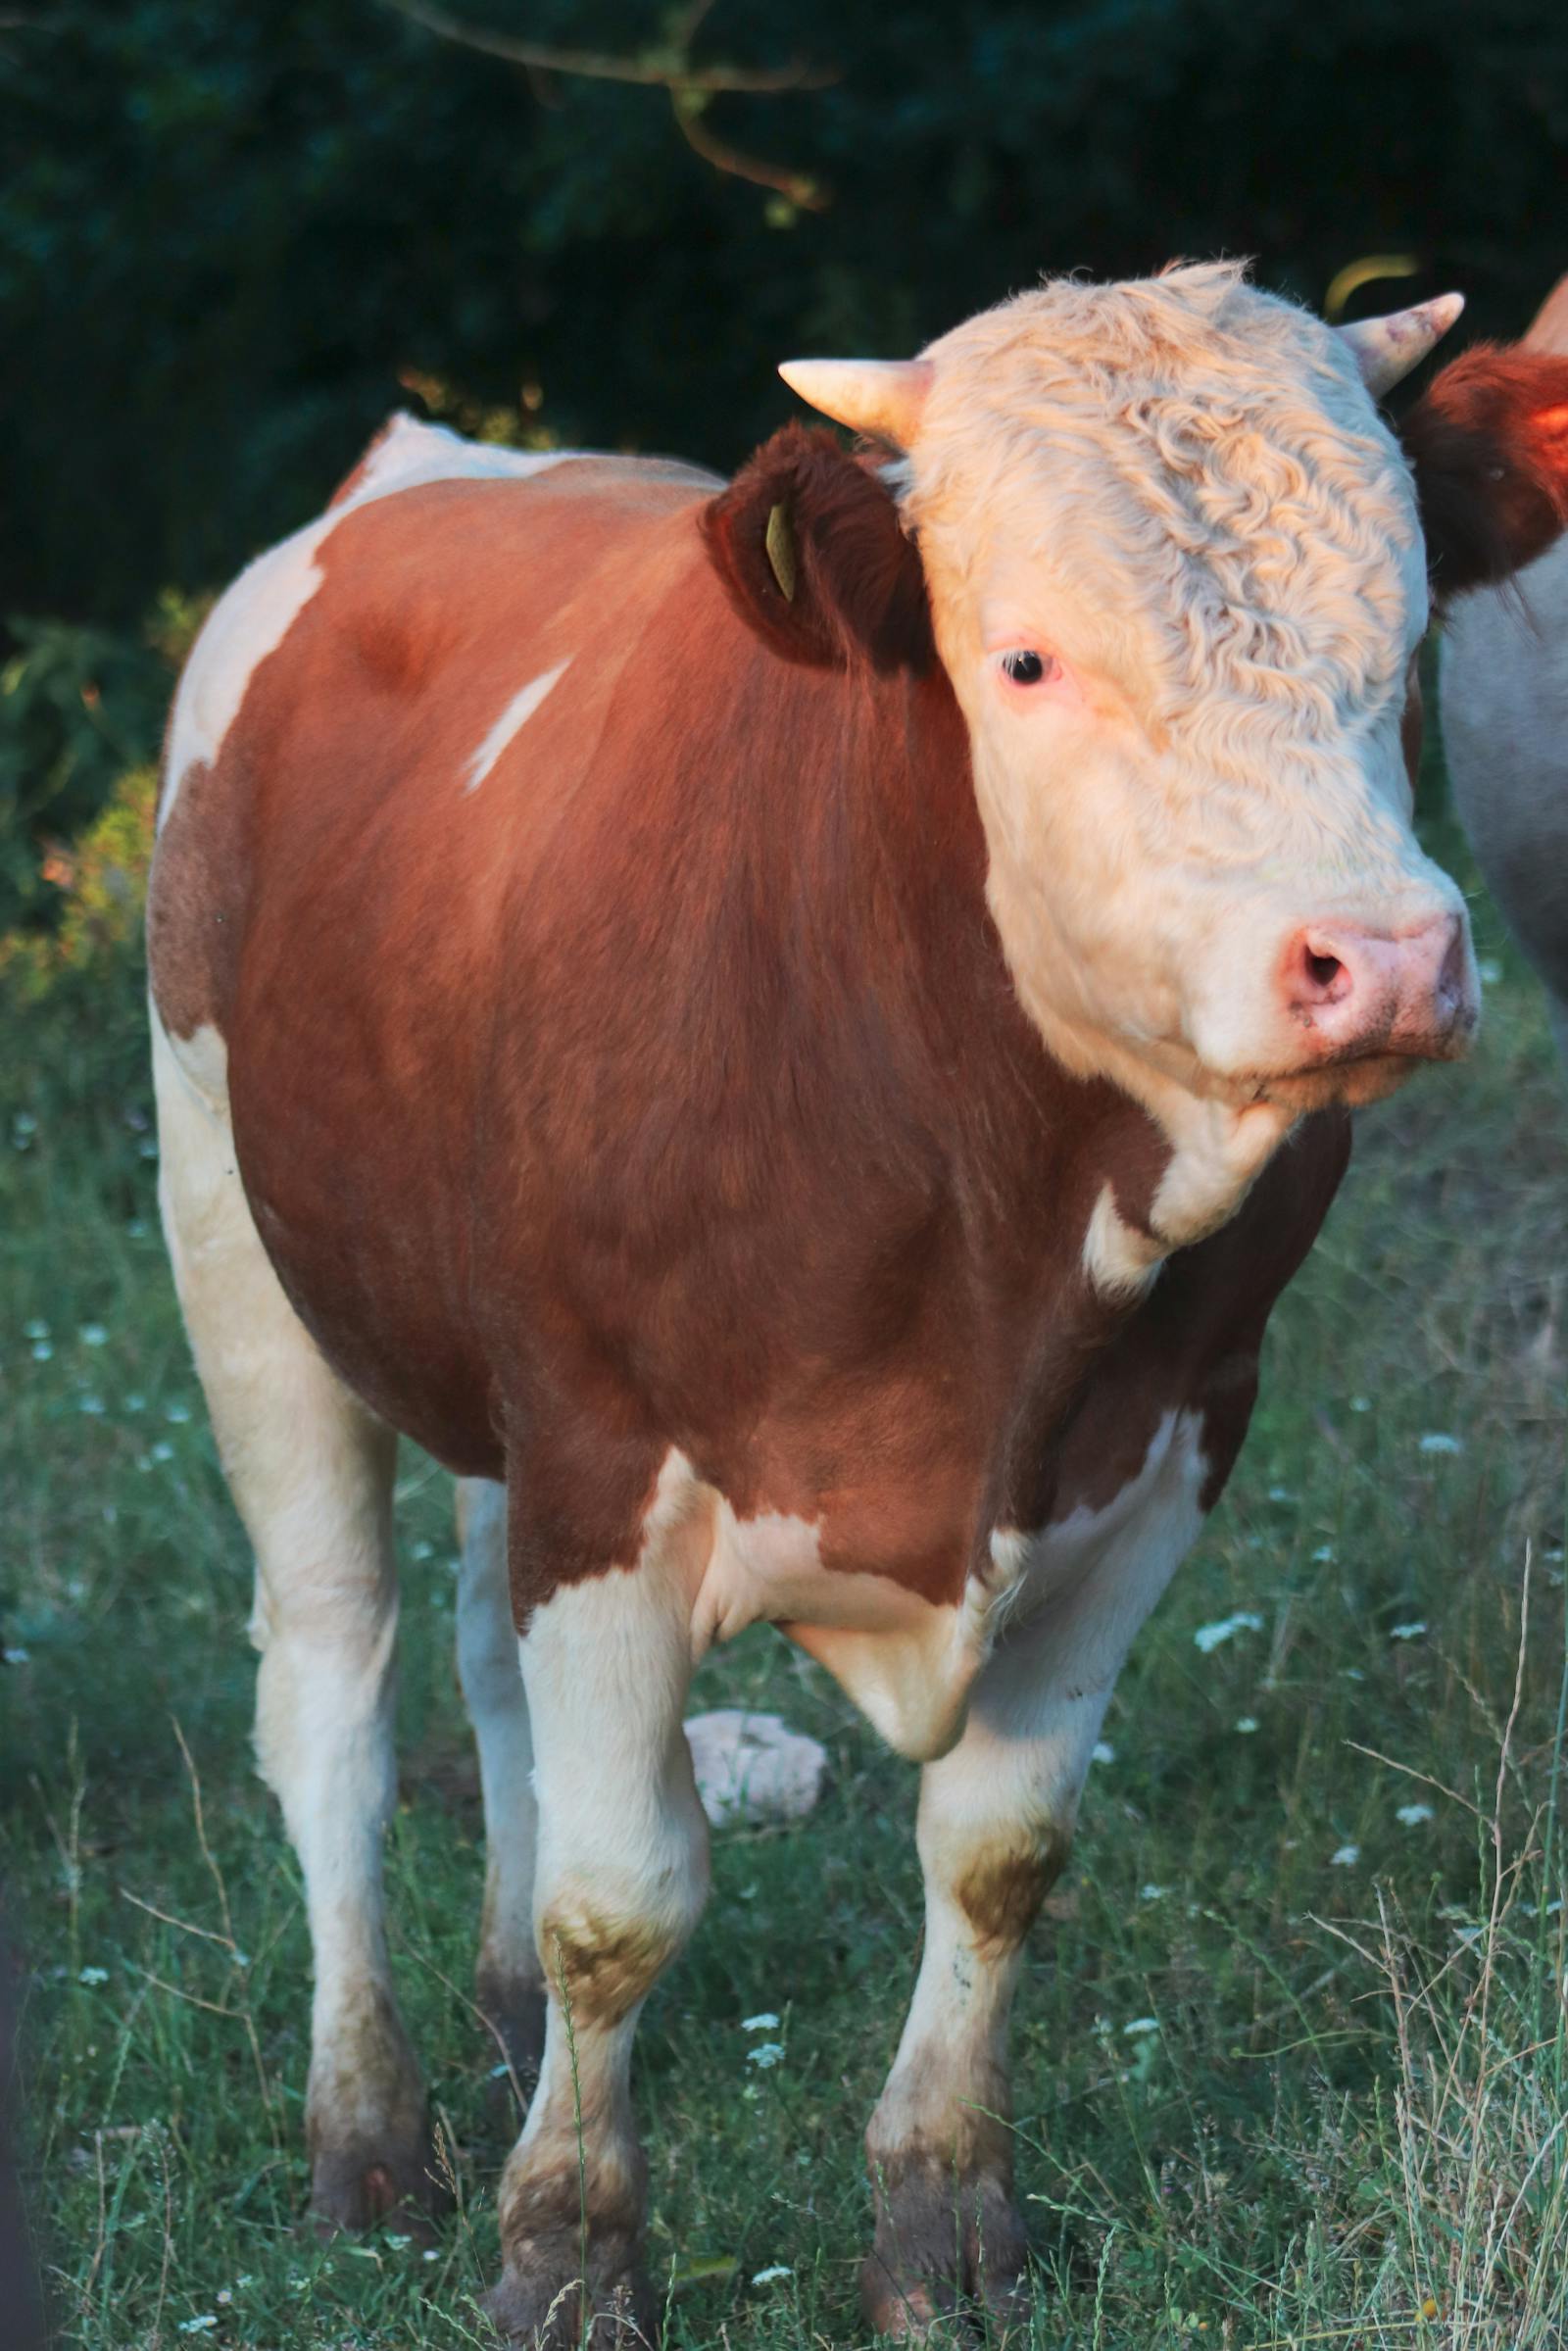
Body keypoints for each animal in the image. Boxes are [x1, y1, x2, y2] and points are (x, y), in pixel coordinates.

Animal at [144, 262, 1568, 2345]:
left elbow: (997, 1854)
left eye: (1400, 642)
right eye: (1029, 660)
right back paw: (370, 2129)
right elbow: (620, 1897)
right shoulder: (608, 1461)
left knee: (479, 1660)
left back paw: (493, 2027)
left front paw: (945, 2228)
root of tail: (431, 454)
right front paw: (565, 2250)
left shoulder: (1165, 1447)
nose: (1379, 956)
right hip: (235, 1242)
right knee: (332, 1685)